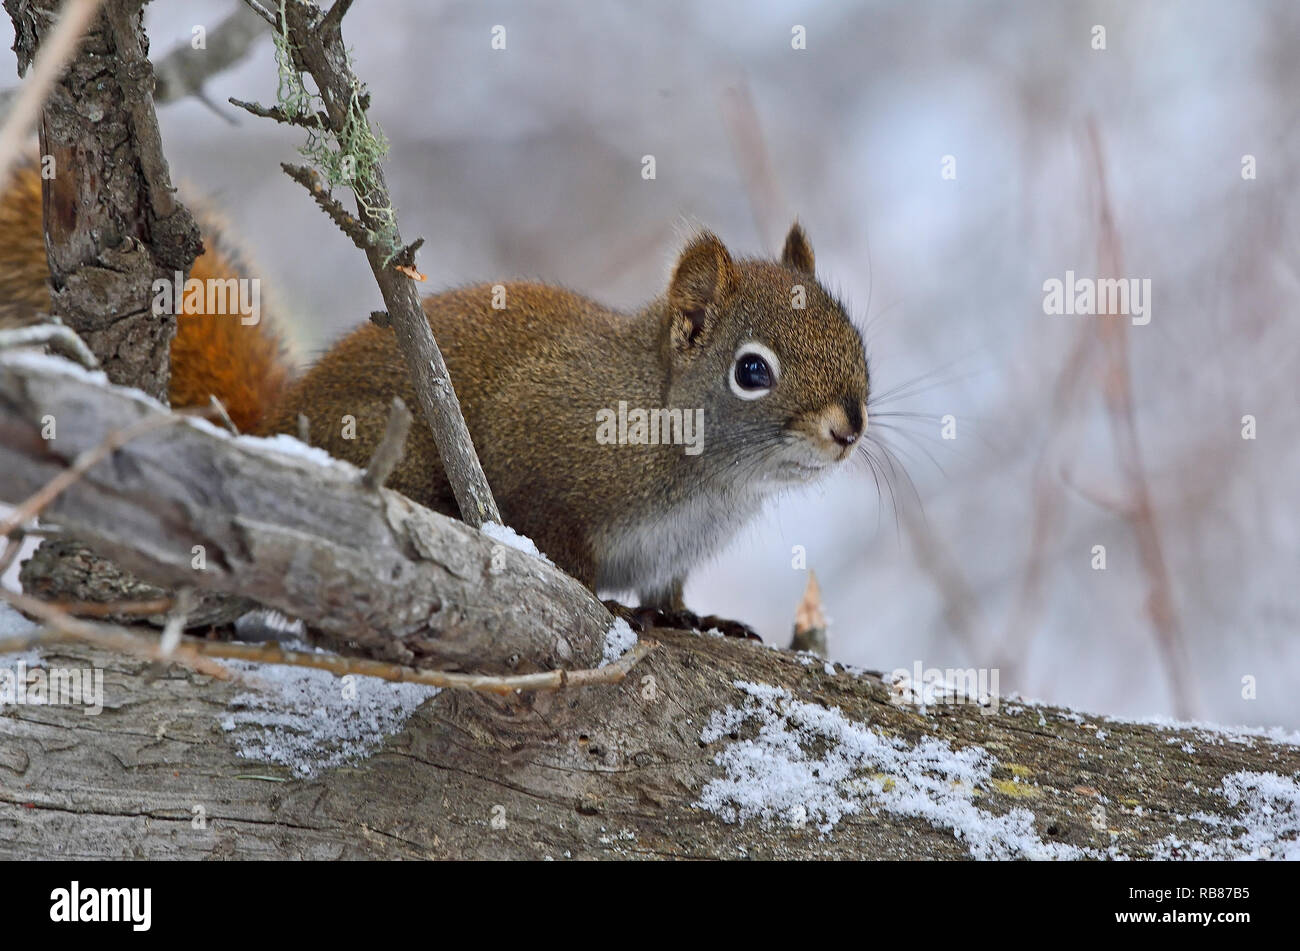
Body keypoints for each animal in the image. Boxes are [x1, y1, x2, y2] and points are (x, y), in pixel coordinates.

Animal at [1, 162, 870, 632]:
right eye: (751, 371)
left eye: (854, 333)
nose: (848, 429)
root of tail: (272, 428)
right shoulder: (543, 447)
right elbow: (558, 546)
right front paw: (615, 609)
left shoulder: (673, 553)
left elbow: (669, 591)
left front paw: (692, 618)